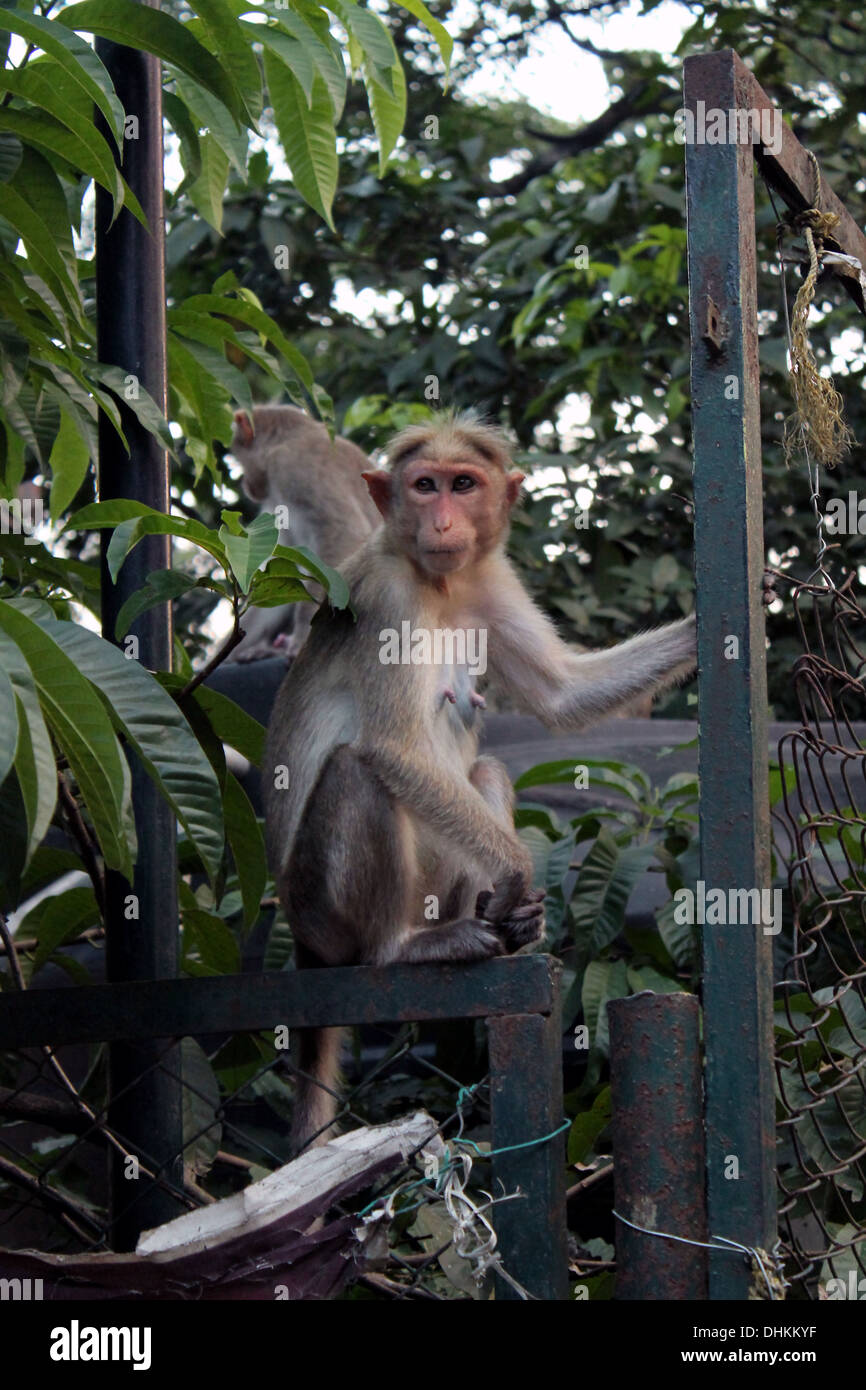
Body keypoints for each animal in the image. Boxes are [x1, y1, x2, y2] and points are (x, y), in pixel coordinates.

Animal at [263, 411, 697, 1153]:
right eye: (424, 485)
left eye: (463, 484)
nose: (442, 520)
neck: (437, 582)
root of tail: (306, 946)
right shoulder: (387, 595)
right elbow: (395, 748)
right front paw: (520, 874)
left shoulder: (489, 577)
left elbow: (560, 695)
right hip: (319, 911)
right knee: (358, 771)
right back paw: (403, 948)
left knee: (484, 769)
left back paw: (499, 926)